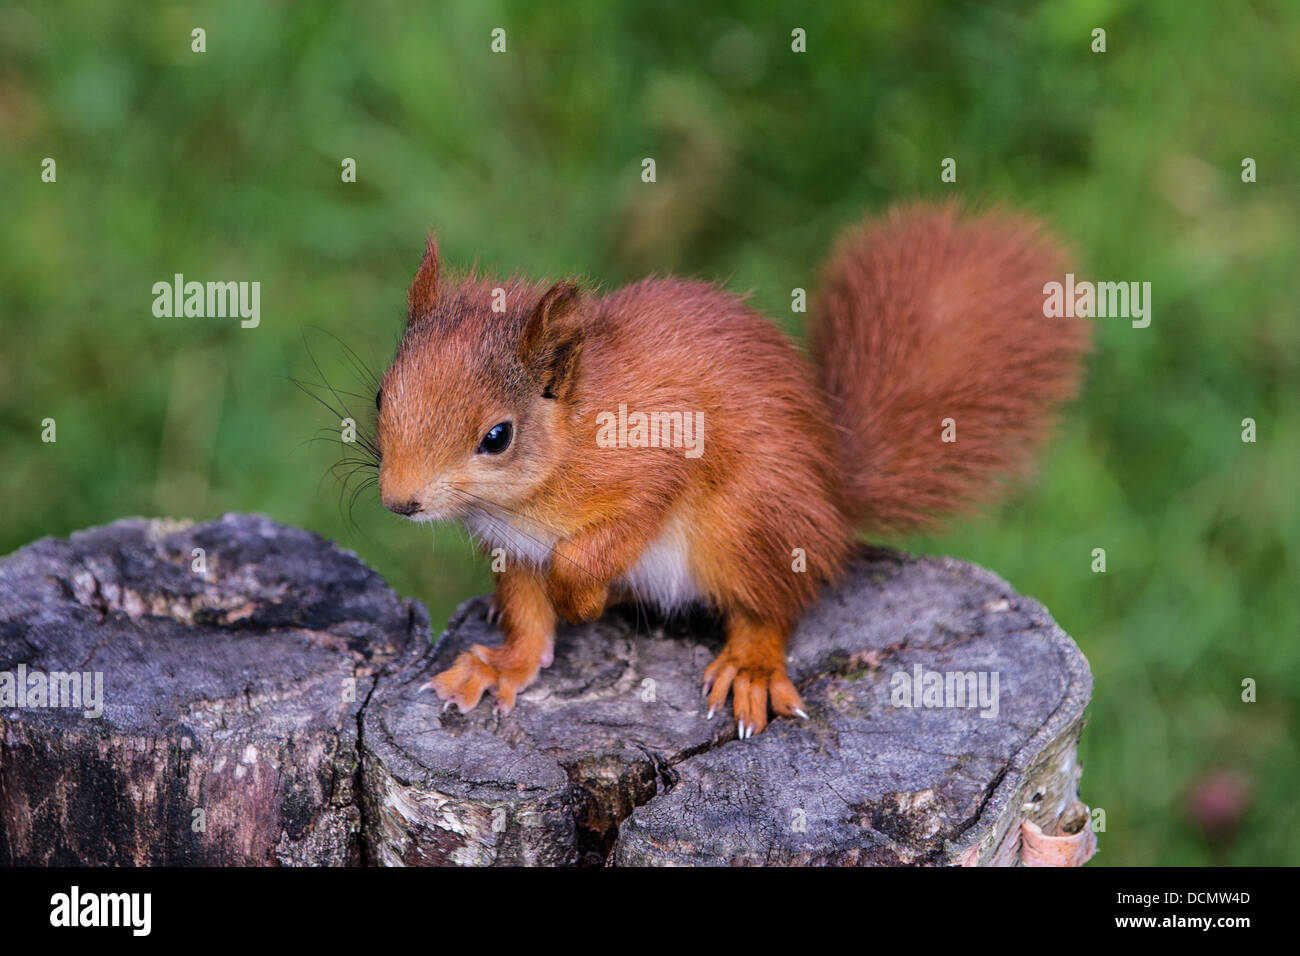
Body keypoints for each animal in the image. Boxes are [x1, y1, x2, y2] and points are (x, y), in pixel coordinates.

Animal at [375, 202, 1090, 737]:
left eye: (497, 437)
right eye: (381, 396)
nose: (399, 502)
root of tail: (834, 495)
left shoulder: (655, 465)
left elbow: (589, 550)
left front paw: (581, 597)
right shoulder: (514, 549)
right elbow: (528, 619)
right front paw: (499, 667)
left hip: (748, 521)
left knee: (773, 605)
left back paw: (751, 666)